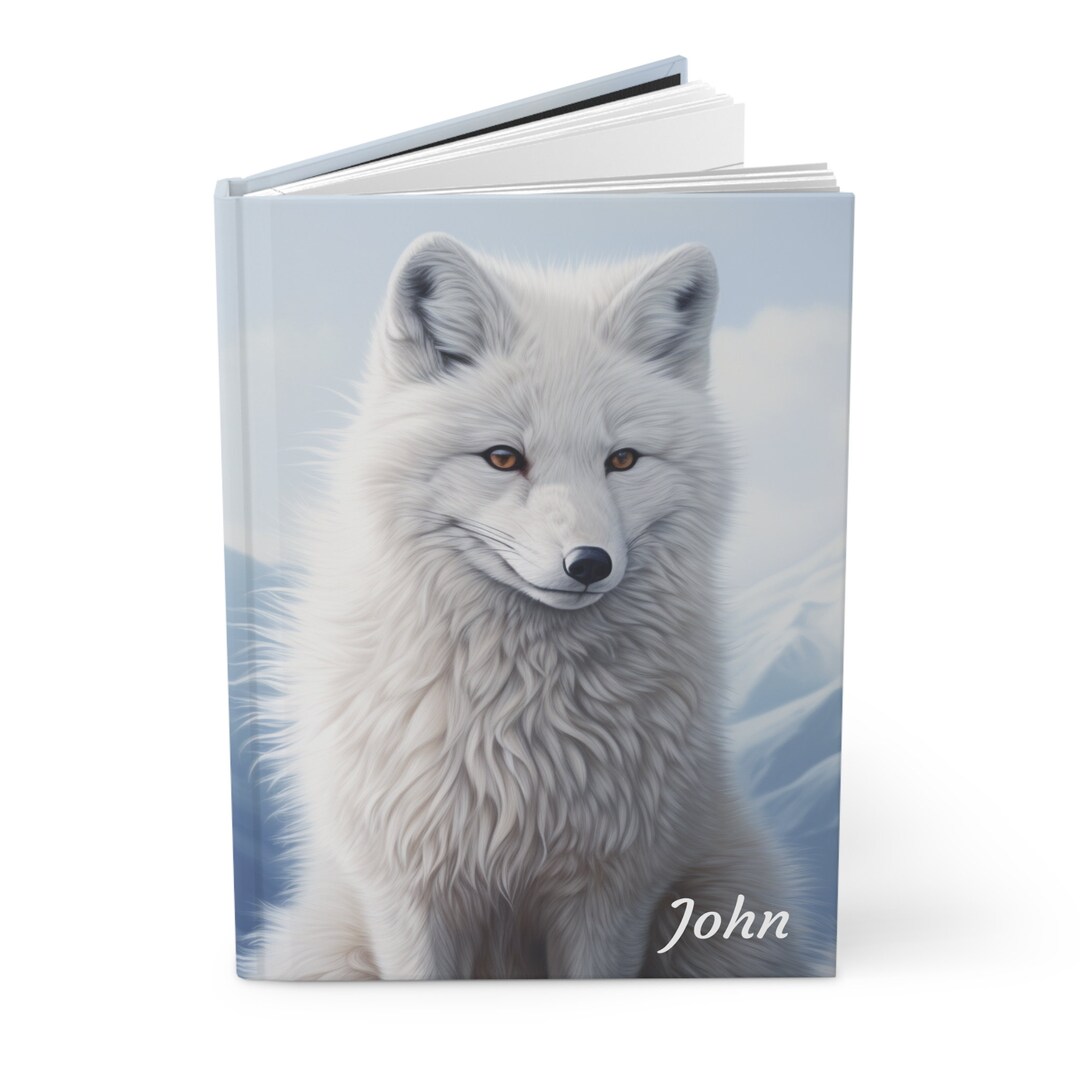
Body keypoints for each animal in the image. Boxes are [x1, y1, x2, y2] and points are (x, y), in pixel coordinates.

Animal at [245, 232, 825, 979]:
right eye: (502, 458)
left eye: (623, 460)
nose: (589, 564)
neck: (518, 721)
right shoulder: (406, 892)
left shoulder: (613, 891)